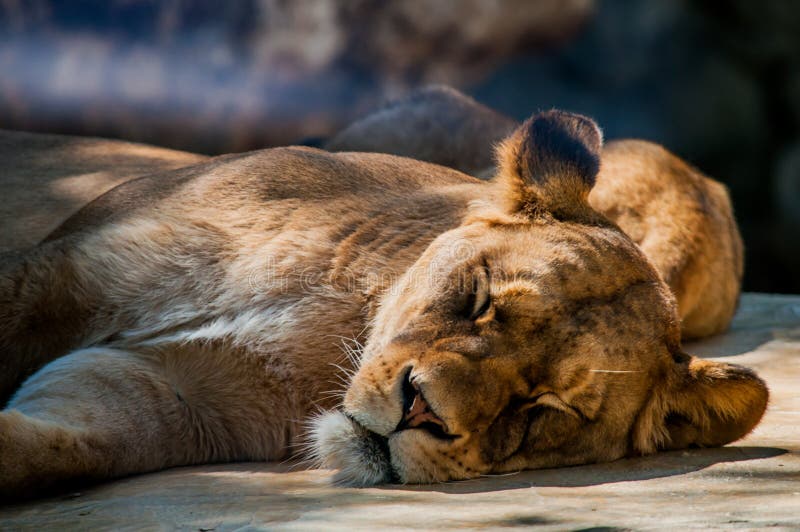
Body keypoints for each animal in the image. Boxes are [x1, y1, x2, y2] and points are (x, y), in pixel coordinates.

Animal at [0, 110, 766, 499]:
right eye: (479, 301)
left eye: (543, 409)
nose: (419, 410)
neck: (339, 318)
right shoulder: (56, 276)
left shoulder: (158, 388)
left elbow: (65, 446)